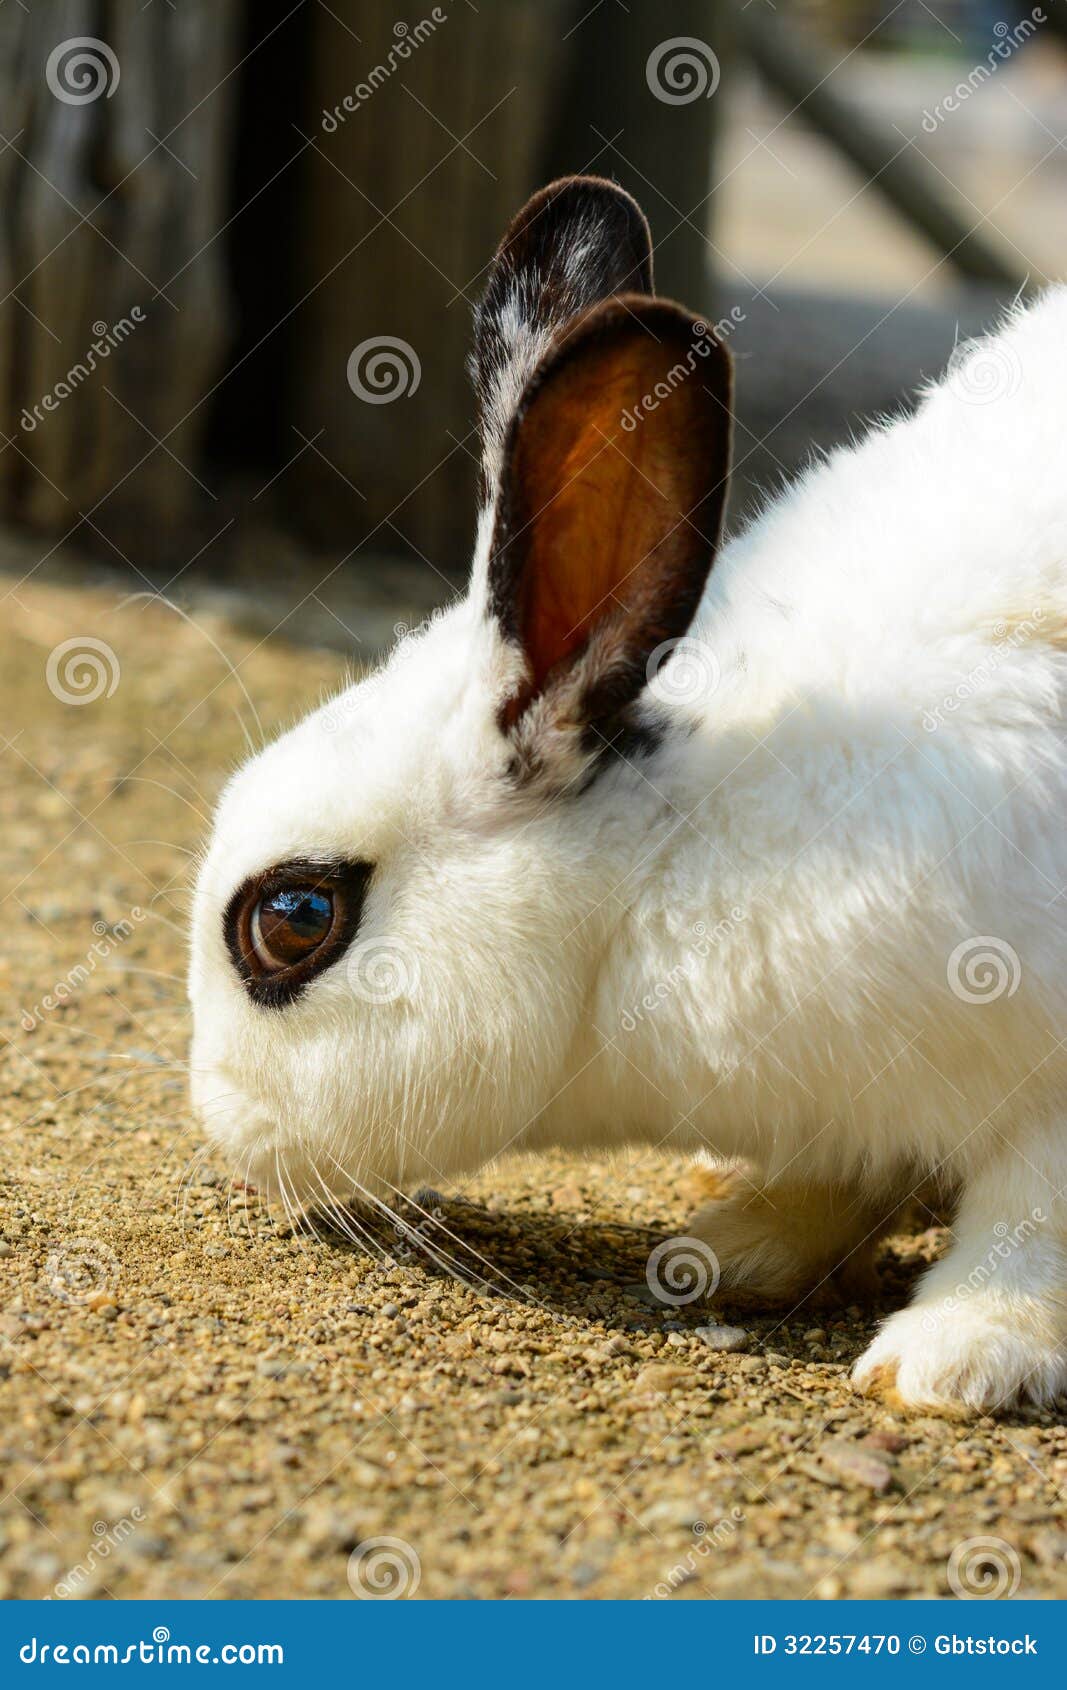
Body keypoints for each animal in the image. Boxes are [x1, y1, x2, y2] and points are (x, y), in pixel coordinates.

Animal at [189, 174, 1067, 1416]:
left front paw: (953, 1355)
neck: (658, 873)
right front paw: (741, 1243)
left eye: (294, 918)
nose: (220, 1123)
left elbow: (1031, 1215)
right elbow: (847, 1168)